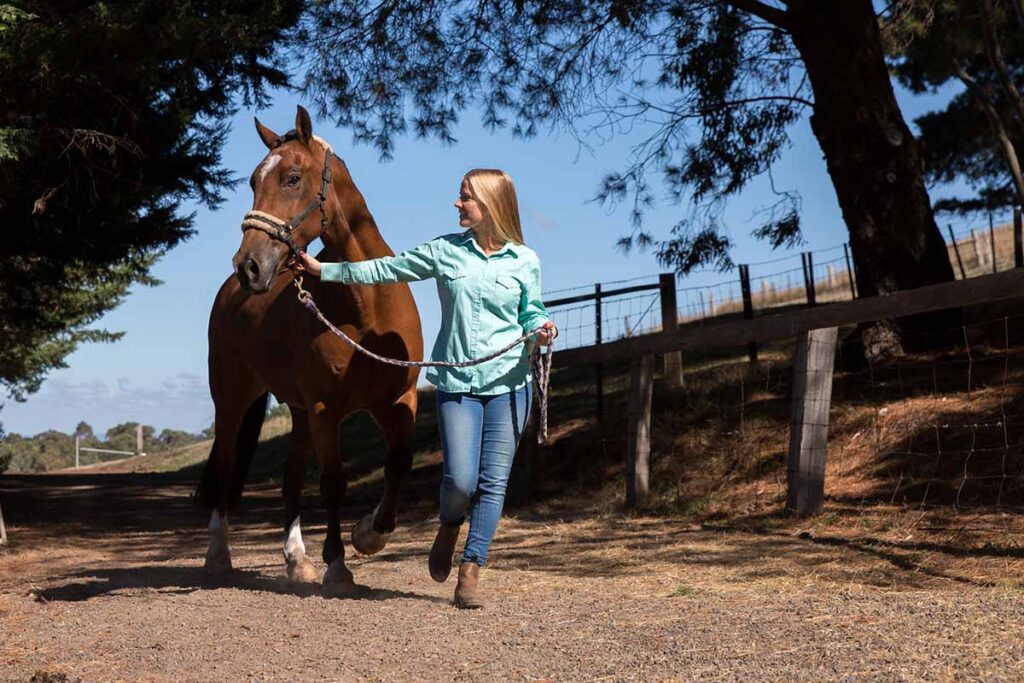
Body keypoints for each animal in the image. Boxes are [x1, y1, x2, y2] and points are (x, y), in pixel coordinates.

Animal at [195, 105, 423, 597]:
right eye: (251, 182)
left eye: (293, 178)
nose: (249, 266)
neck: (366, 306)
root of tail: (229, 294)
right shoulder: (325, 410)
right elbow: (334, 483)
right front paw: (338, 564)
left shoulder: (397, 400)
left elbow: (399, 462)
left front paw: (369, 535)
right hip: (233, 400)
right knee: (225, 466)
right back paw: (218, 556)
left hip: (298, 413)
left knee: (291, 477)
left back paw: (296, 560)